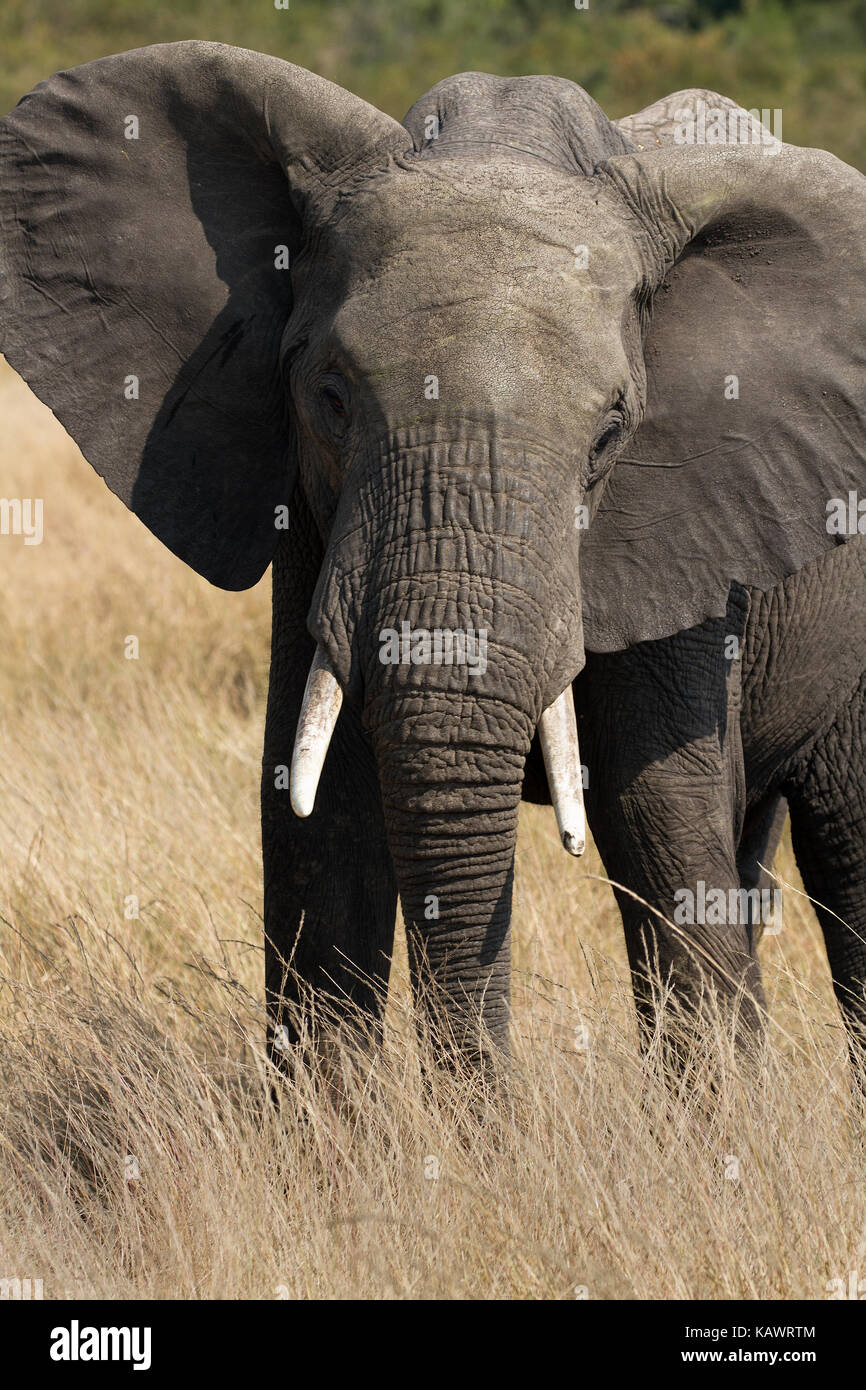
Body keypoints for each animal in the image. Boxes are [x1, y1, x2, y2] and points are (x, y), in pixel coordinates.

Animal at [1, 43, 865, 1077]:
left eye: (611, 431)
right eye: (329, 397)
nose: (491, 1109)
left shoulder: (687, 535)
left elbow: (659, 824)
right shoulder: (315, 529)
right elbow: (319, 821)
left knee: (843, 849)